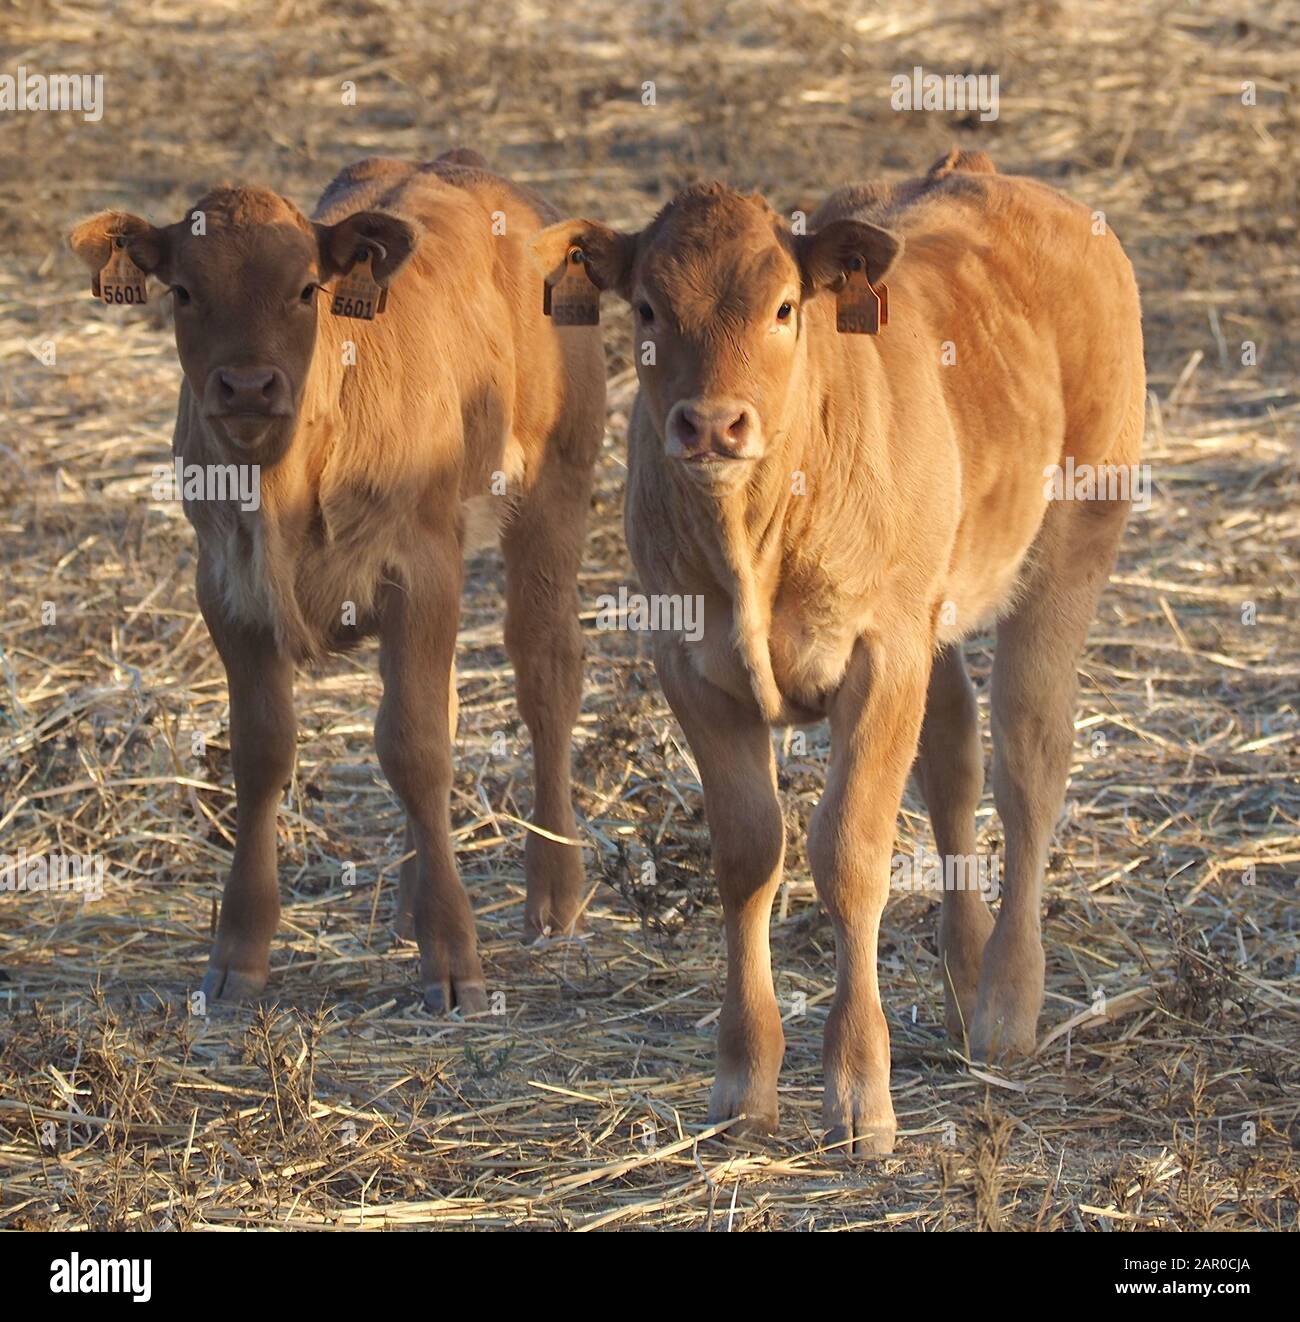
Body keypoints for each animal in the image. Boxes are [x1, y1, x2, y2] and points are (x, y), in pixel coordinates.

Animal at [71, 150, 605, 1012]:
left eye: (305, 289)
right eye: (183, 291)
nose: (247, 387)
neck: (283, 478)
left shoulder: (421, 568)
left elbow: (417, 748)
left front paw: (453, 957)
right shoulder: (226, 589)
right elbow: (263, 752)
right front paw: (239, 953)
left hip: (553, 490)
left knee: (545, 674)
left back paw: (555, 892)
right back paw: (411, 904)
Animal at [532, 149, 1145, 1154]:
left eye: (785, 307)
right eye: (649, 309)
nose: (713, 424)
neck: (754, 530)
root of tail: (987, 172)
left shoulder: (878, 654)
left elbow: (851, 854)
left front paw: (860, 1091)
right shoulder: (690, 665)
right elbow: (749, 854)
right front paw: (745, 1080)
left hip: (1071, 549)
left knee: (1030, 760)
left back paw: (1006, 1003)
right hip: (933, 607)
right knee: (954, 755)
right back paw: (962, 973)